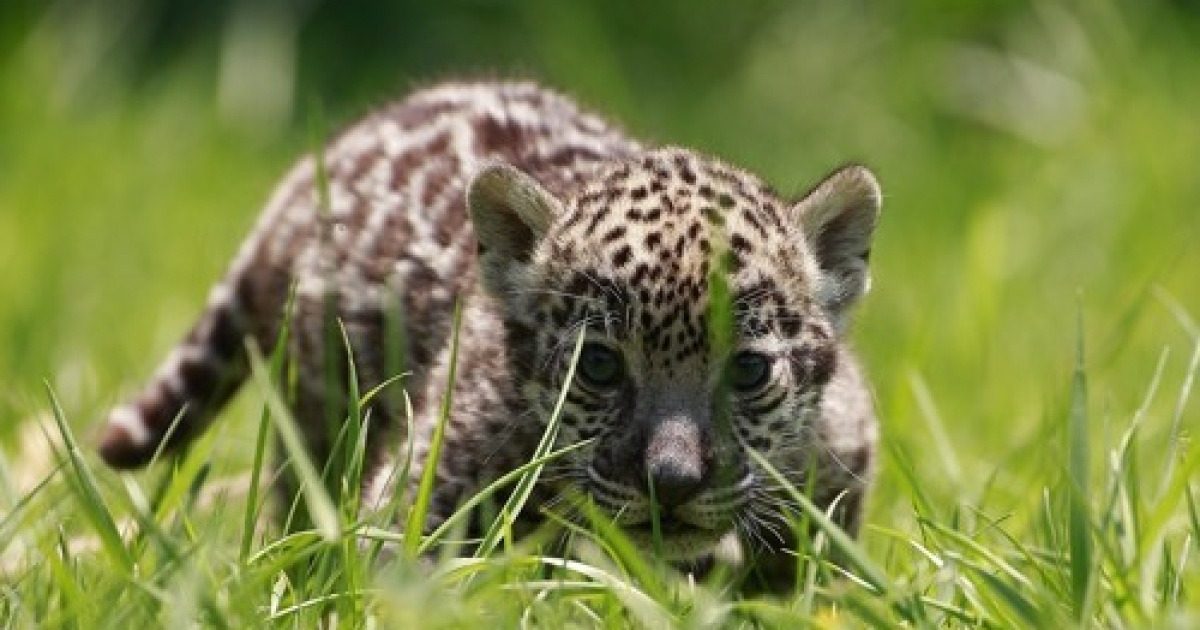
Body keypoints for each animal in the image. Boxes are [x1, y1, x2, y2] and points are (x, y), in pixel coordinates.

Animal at [98, 81, 881, 591]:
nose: (672, 483)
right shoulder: (423, 494)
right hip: (320, 420)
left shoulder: (841, 456)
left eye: (749, 373)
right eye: (598, 368)